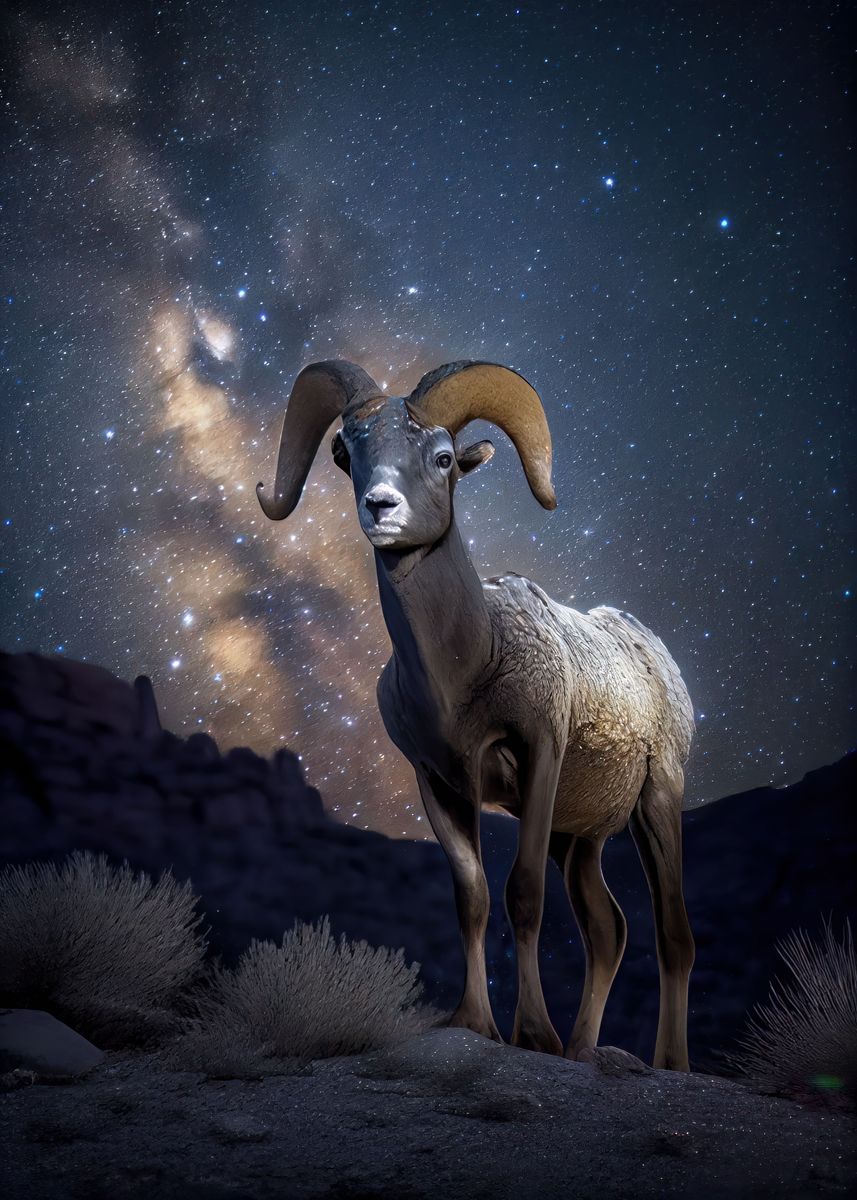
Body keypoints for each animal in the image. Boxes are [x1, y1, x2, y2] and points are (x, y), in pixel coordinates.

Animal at [258, 358, 696, 1070]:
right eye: (349, 456)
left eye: (442, 458)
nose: (381, 506)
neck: (463, 673)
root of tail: (654, 651)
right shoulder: (440, 785)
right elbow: (474, 897)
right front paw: (475, 1023)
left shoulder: (539, 757)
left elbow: (523, 895)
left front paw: (533, 1036)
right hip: (581, 841)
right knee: (608, 931)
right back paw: (581, 1050)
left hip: (657, 803)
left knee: (673, 934)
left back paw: (669, 1063)